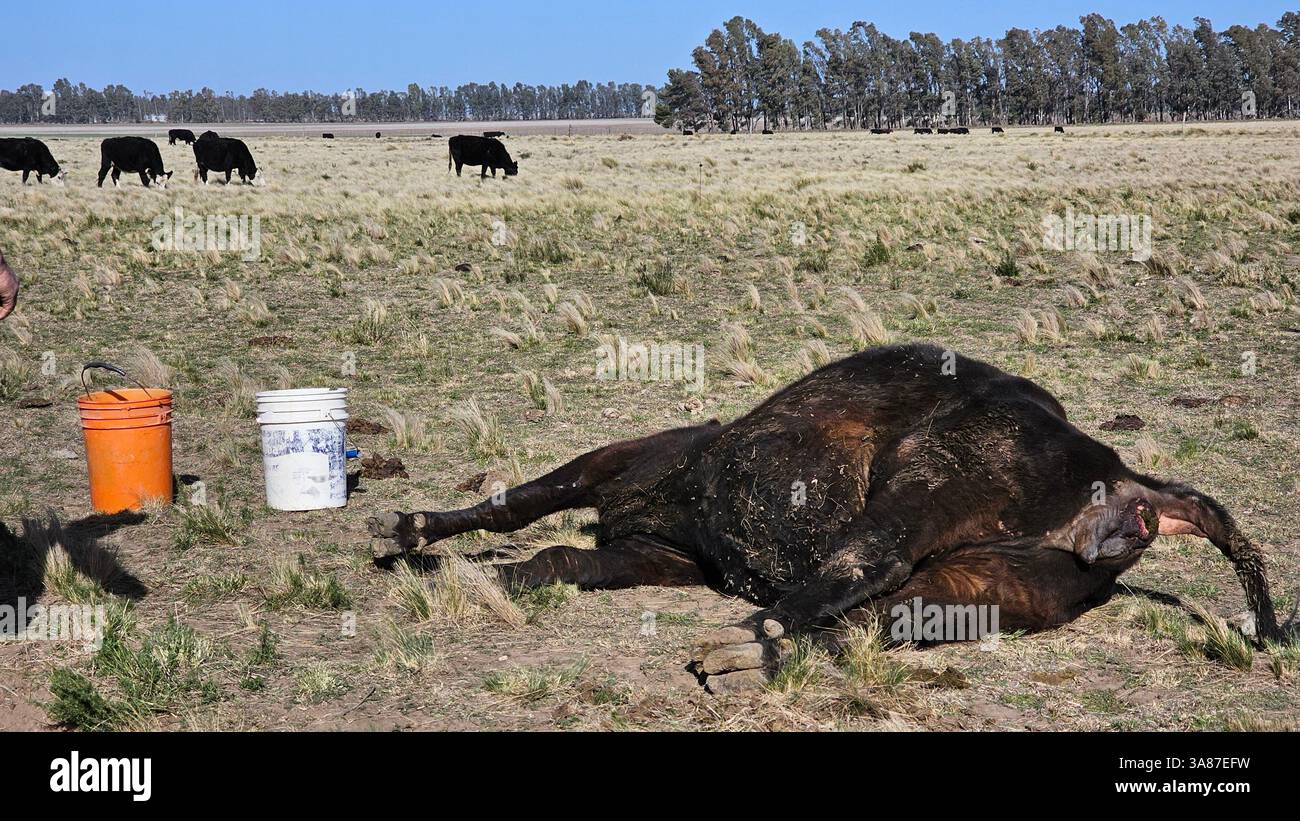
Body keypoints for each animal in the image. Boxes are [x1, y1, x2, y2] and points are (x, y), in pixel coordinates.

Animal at [368, 343, 1282, 693]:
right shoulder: (658, 550)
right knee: (871, 616)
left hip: (930, 482)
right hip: (991, 583)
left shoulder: (627, 458)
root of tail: (1123, 486)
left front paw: (411, 533)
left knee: (856, 572)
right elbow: (553, 551)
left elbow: (519, 501)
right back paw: (762, 656)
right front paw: (452, 560)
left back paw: (745, 648)